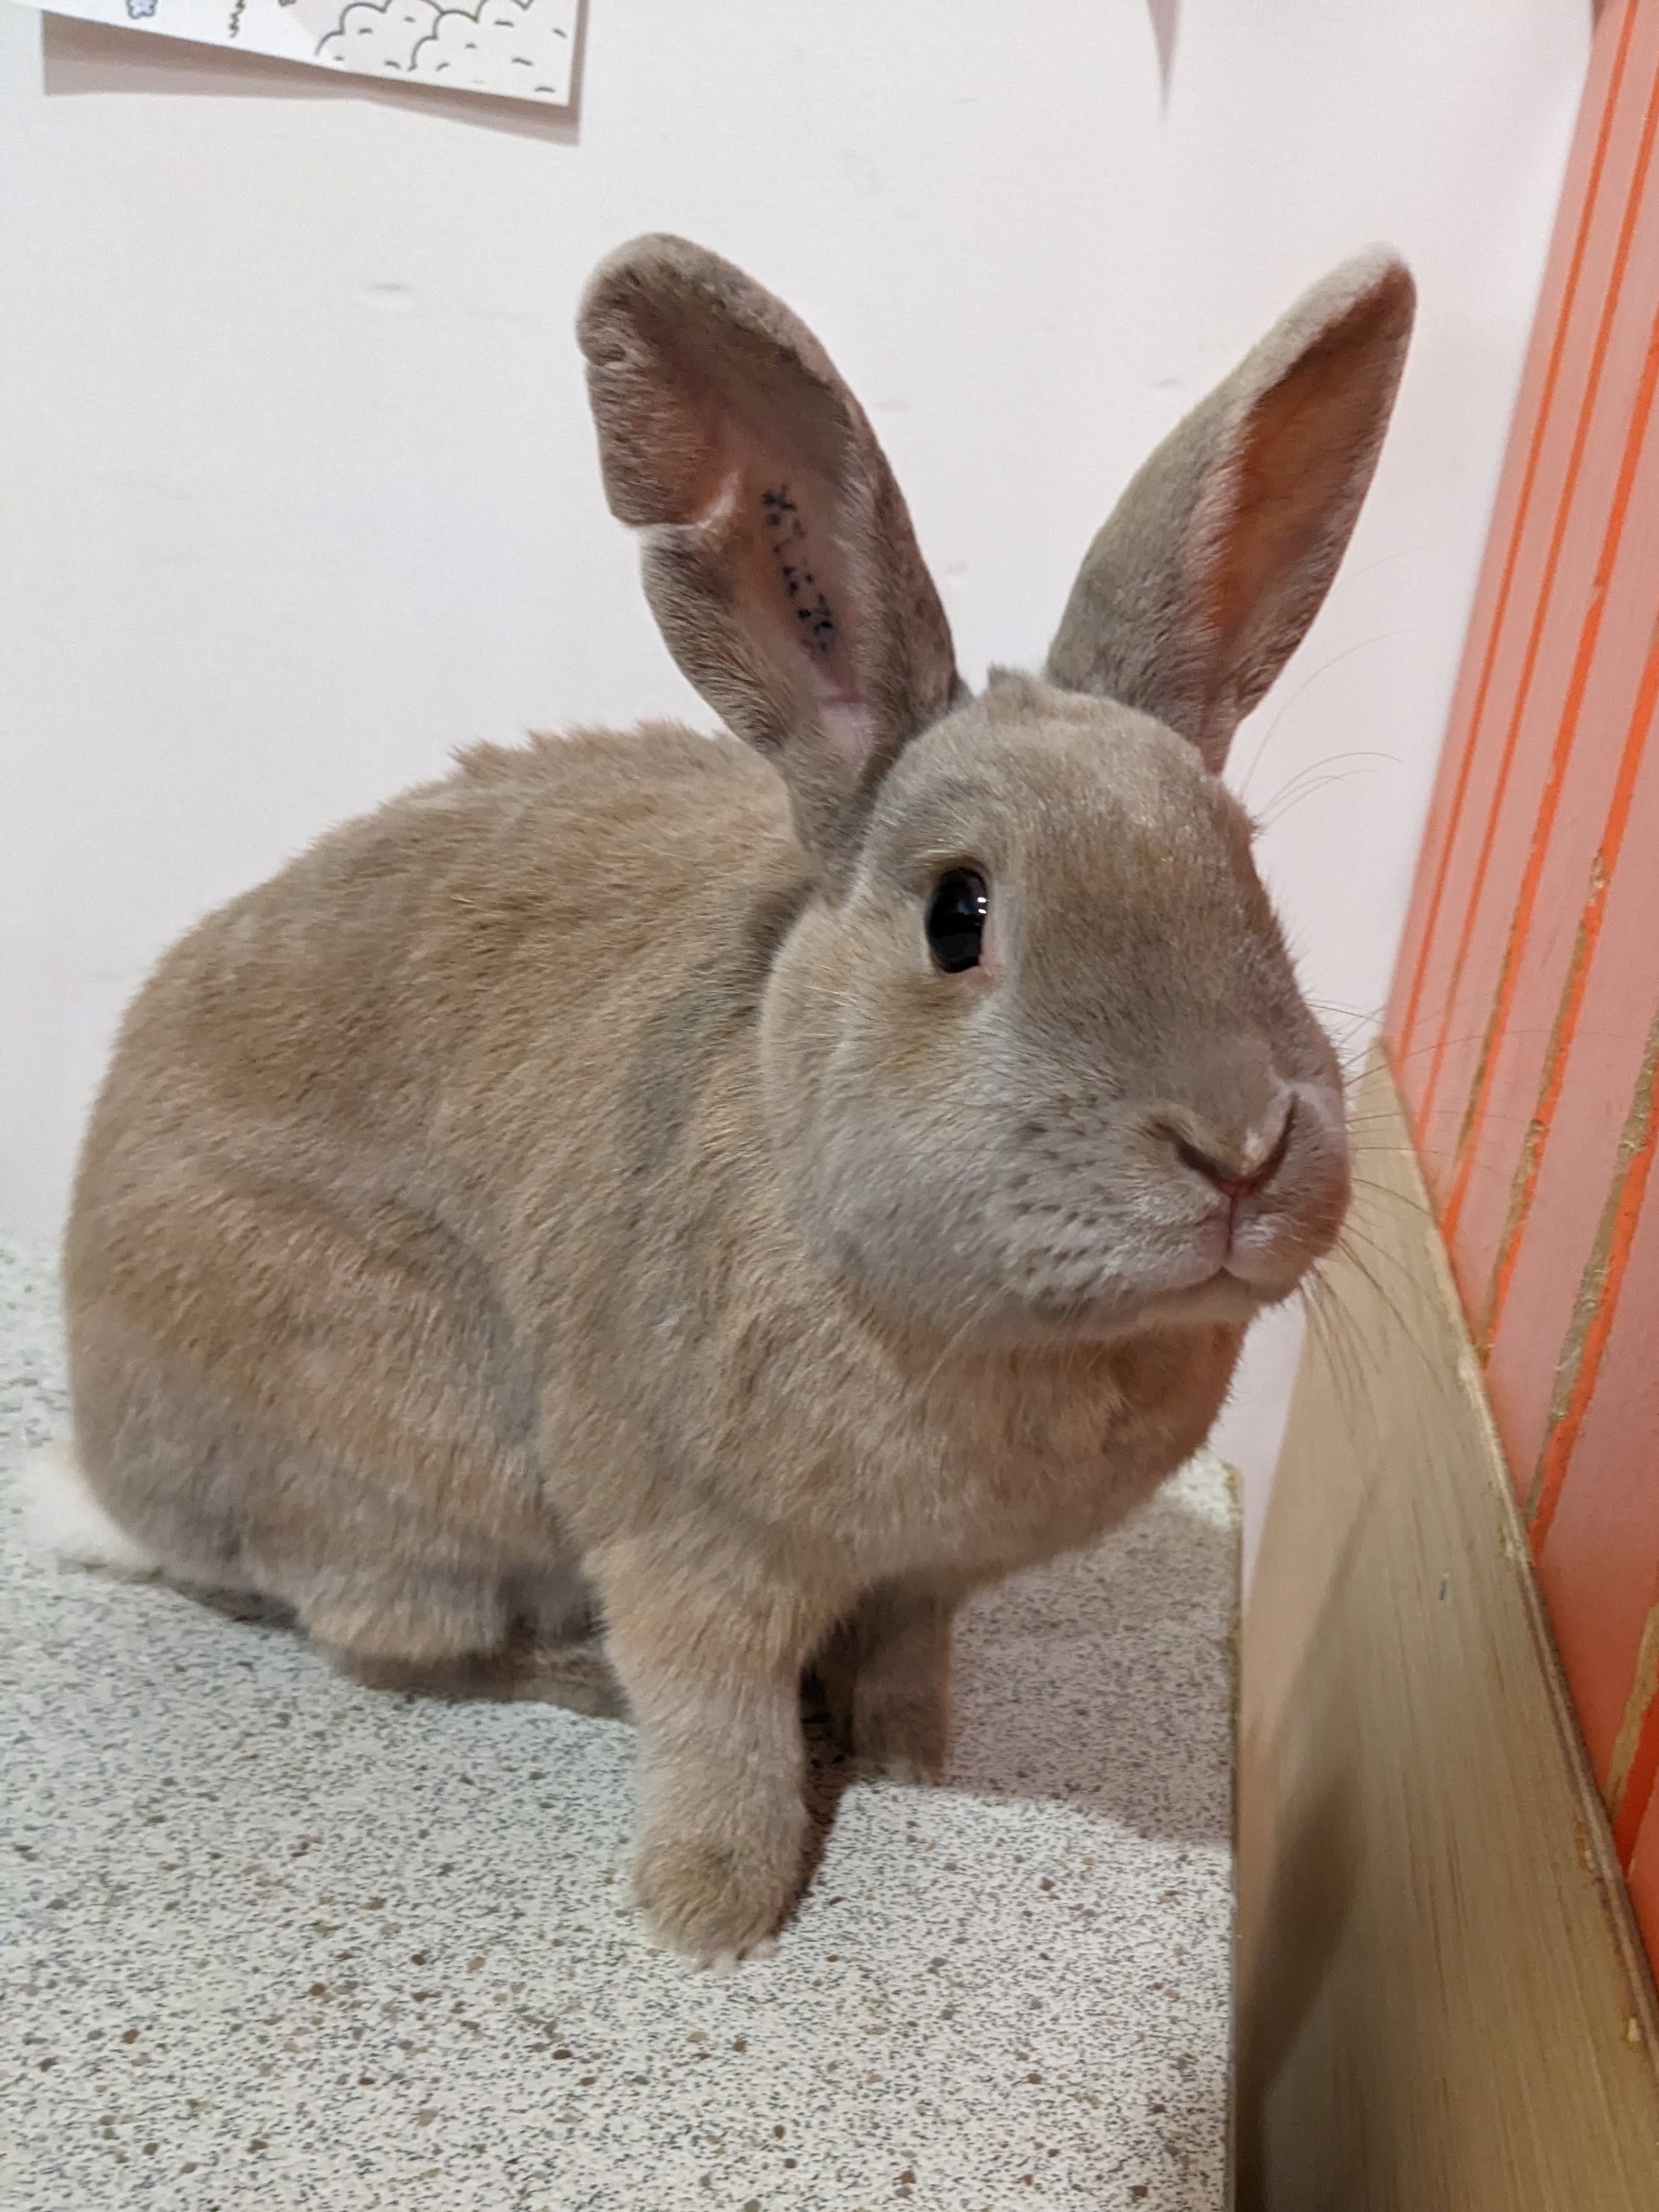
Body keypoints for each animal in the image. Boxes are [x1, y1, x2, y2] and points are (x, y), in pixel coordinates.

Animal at [47, 233, 1413, 1963]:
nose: (1235, 1148)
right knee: (391, 1629)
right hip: (399, 1439)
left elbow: (904, 1659)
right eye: (956, 916)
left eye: (1245, 870)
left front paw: (907, 1761)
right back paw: (566, 1678)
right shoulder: (685, 1546)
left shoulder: (922, 1579)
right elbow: (716, 1728)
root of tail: (111, 1469)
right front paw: (711, 1909)